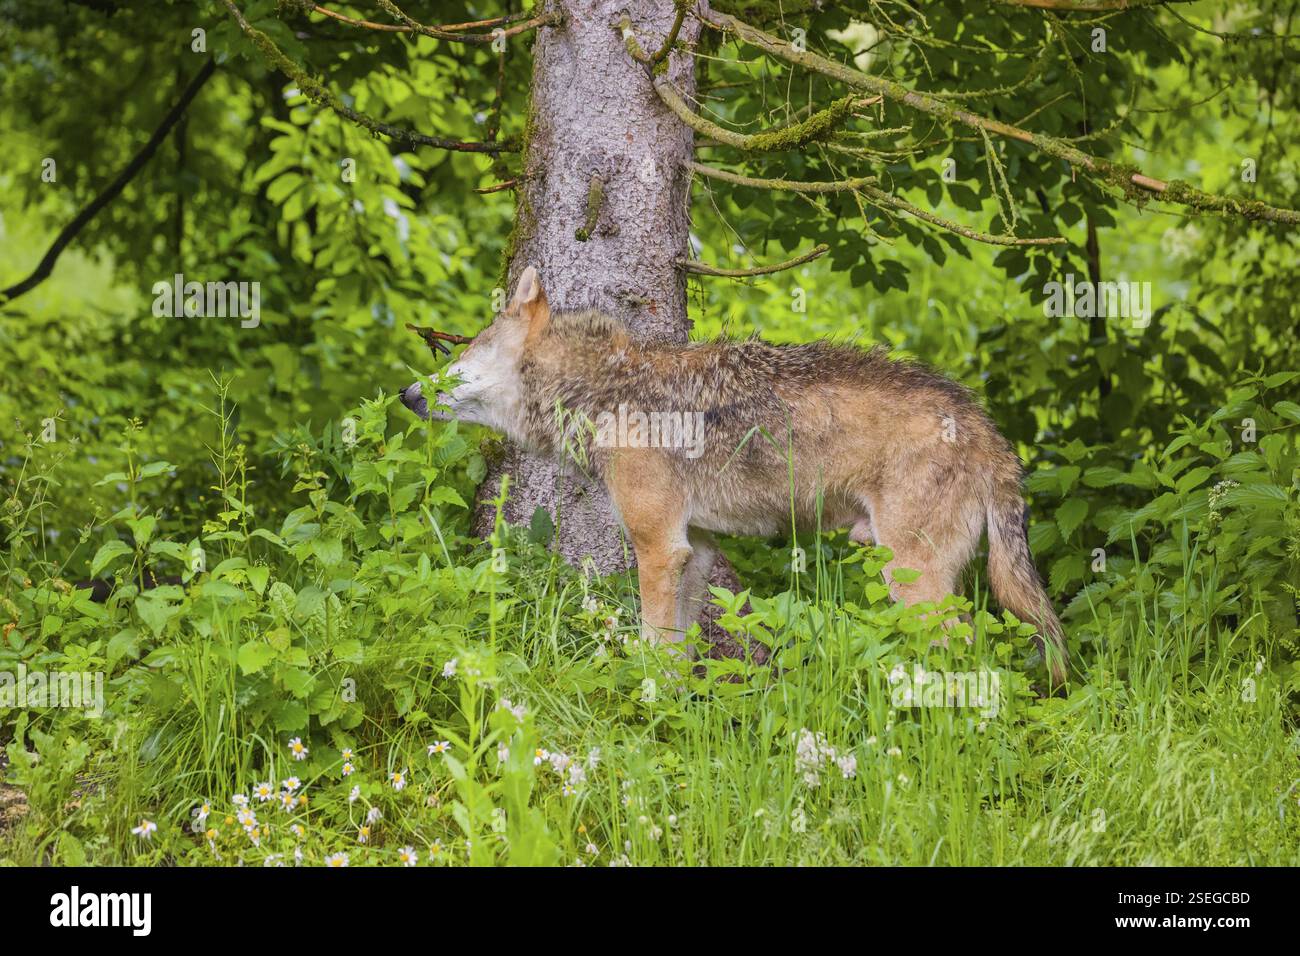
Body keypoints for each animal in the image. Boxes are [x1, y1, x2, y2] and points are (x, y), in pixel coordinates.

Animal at [401, 266, 1068, 685]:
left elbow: (651, 646)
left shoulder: (658, 547)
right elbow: (677, 654)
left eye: (464, 354)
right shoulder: (692, 549)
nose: (406, 394)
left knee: (968, 655)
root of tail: (990, 433)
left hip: (912, 581)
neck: (606, 389)